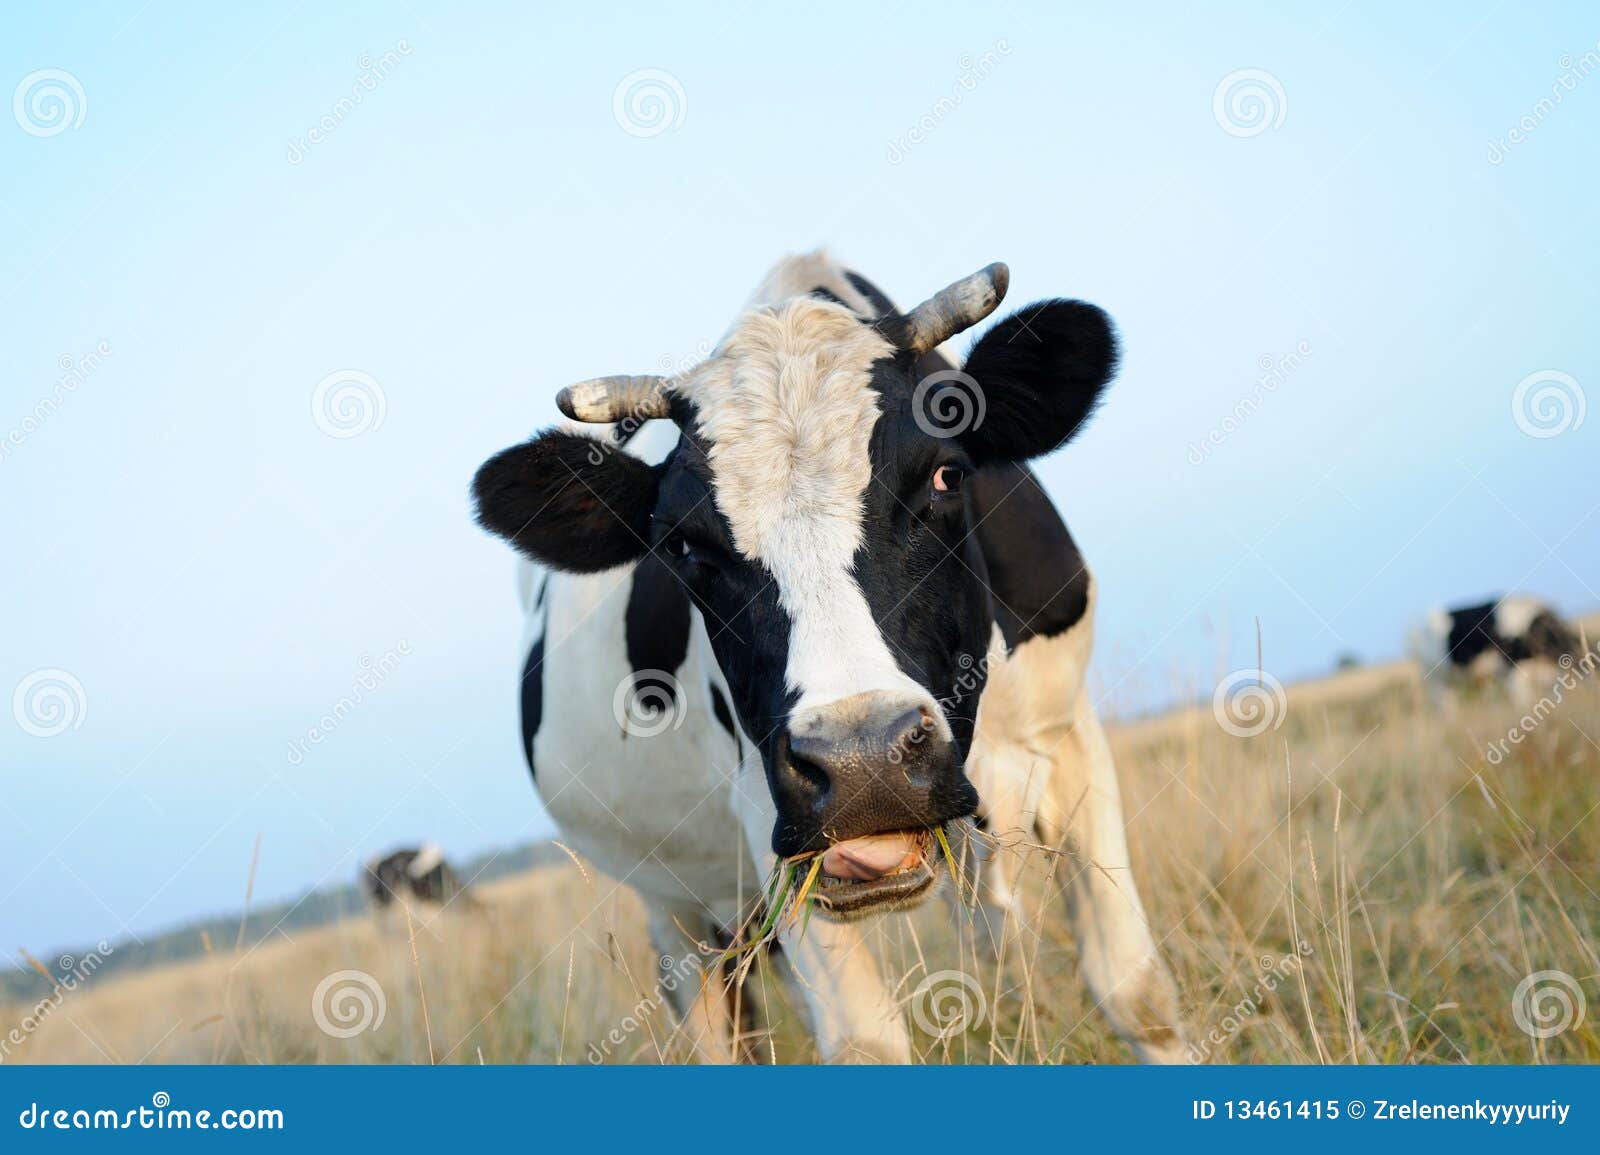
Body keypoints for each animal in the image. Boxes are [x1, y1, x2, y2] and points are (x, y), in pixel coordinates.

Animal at [471, 252, 1187, 1063]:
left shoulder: (1068, 732)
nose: (863, 763)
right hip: (671, 899)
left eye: (946, 475)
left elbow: (1136, 990)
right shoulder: (766, 819)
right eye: (683, 544)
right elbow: (864, 1043)